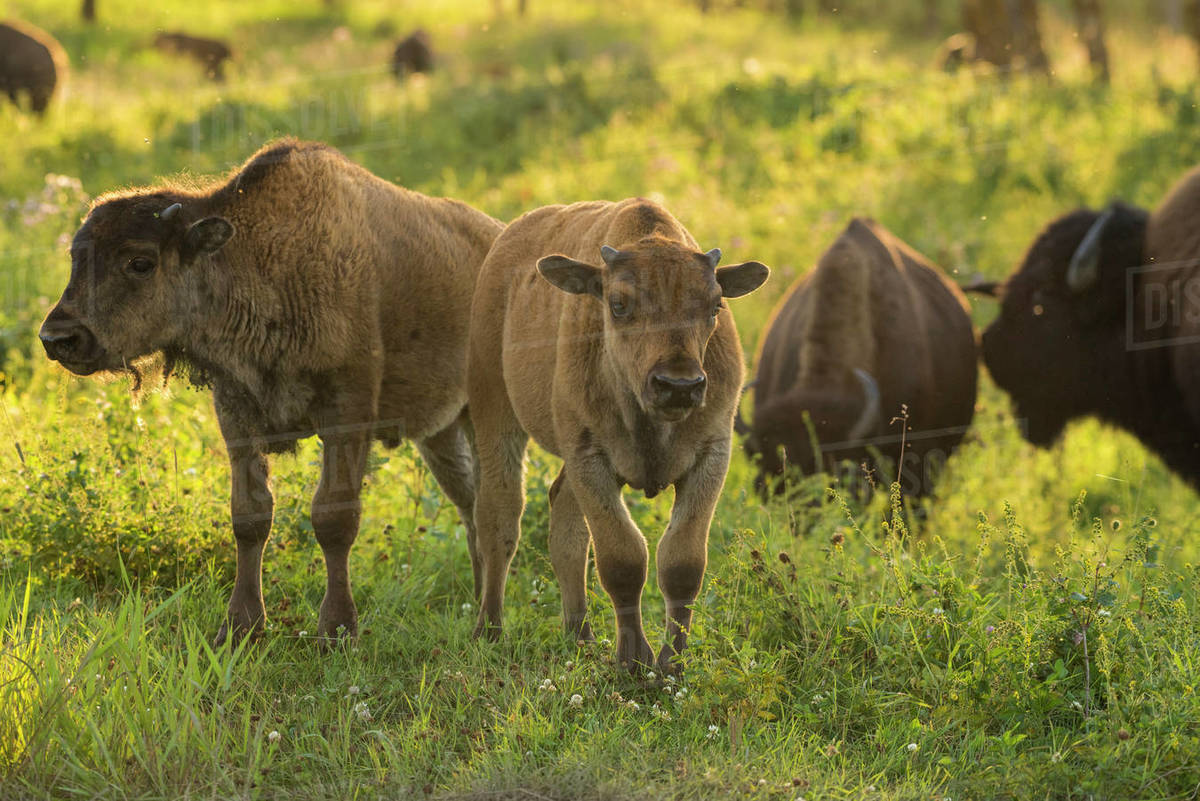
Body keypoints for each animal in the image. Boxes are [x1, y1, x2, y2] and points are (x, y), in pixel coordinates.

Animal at [39, 139, 504, 646]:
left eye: (139, 262)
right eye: (75, 259)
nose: (58, 338)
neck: (263, 260)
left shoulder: (348, 411)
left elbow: (333, 519)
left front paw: (337, 630)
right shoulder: (236, 413)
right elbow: (250, 516)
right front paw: (239, 628)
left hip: (478, 419)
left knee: (485, 505)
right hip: (441, 432)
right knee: (469, 504)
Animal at [467, 198, 769, 673]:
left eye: (715, 306)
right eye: (618, 304)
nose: (679, 385)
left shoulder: (710, 457)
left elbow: (681, 563)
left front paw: (671, 664)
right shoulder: (590, 457)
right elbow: (622, 559)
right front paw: (633, 662)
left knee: (564, 520)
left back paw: (580, 636)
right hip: (495, 413)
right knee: (501, 518)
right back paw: (490, 631)